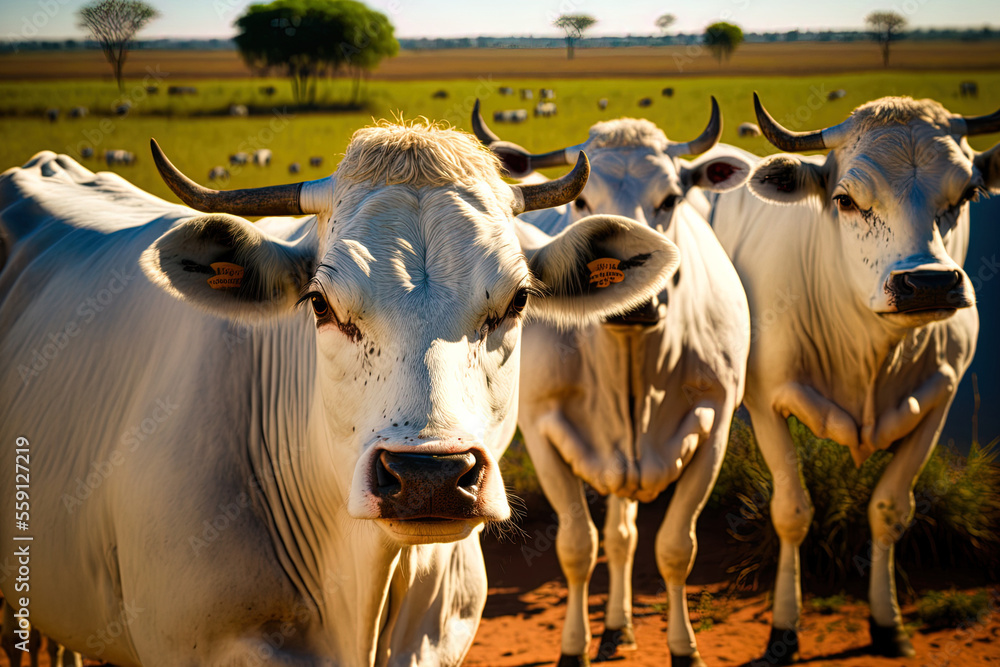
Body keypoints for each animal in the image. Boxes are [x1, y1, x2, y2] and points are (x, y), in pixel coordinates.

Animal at [472, 99, 753, 666]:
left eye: (671, 198)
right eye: (582, 201)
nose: (638, 304)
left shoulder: (716, 426)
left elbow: (675, 547)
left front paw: (684, 648)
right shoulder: (542, 431)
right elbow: (578, 546)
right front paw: (573, 647)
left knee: (626, 534)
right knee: (618, 534)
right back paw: (613, 628)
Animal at [709, 94, 1000, 664]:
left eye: (968, 194)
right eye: (845, 200)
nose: (929, 283)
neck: (870, 355)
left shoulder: (940, 401)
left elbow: (890, 510)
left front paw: (888, 625)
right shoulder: (766, 402)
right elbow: (792, 512)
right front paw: (783, 630)